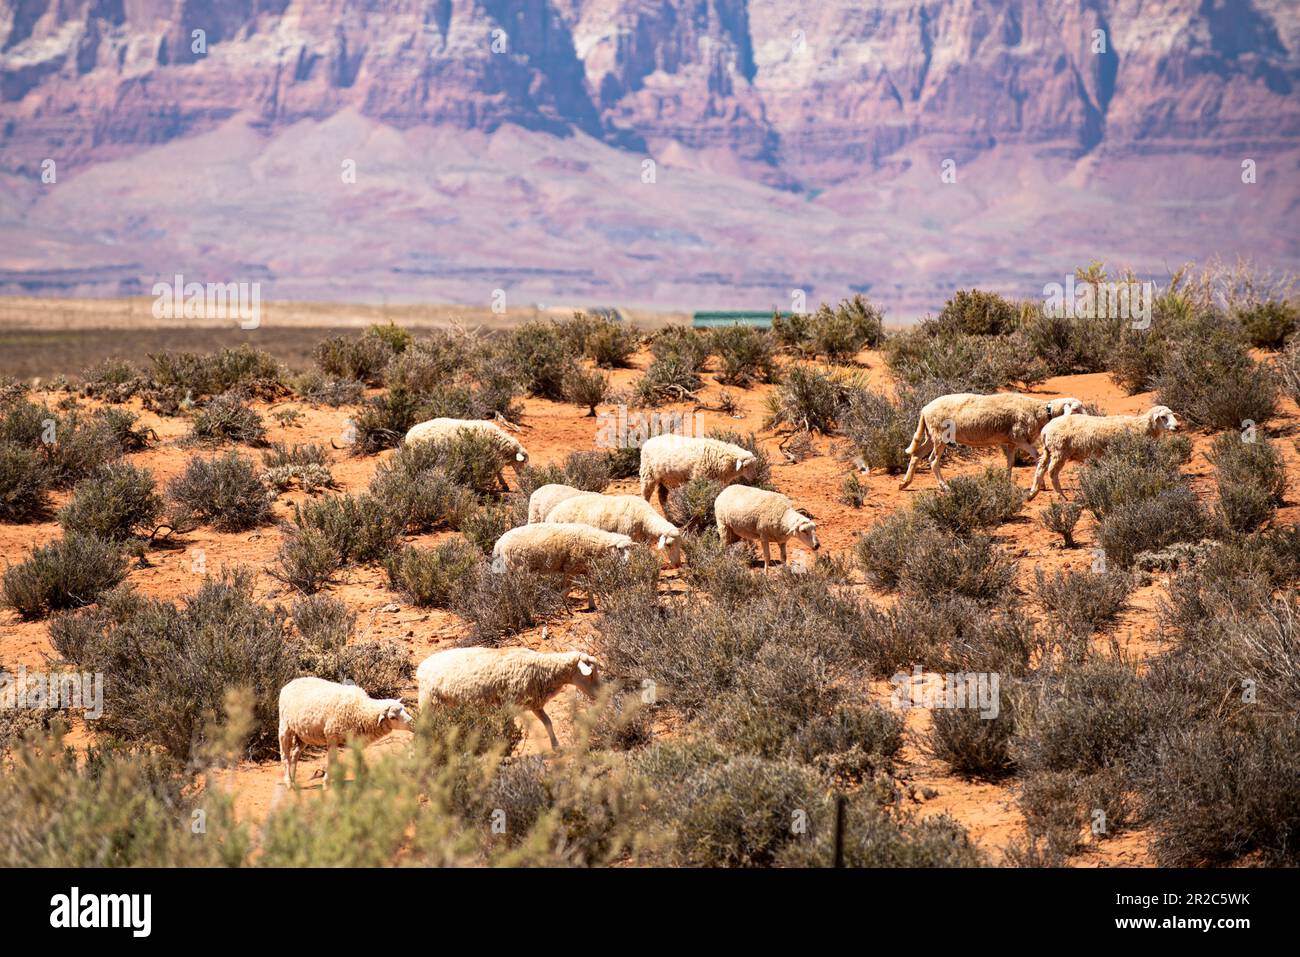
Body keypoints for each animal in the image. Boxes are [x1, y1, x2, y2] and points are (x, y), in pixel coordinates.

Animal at [278, 677, 414, 788]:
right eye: (392, 717)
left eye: (404, 709)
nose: (412, 723)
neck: (360, 709)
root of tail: (290, 683)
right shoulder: (332, 735)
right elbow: (332, 760)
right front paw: (326, 783)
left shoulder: (356, 741)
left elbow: (360, 761)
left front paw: (364, 780)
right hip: (285, 727)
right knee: (285, 756)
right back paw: (288, 782)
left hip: (303, 735)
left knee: (295, 754)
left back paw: (293, 780)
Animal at [416, 647, 601, 750]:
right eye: (590, 674)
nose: (599, 694)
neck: (542, 668)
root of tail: (421, 667)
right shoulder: (509, 705)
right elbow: (509, 729)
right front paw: (505, 749)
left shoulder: (535, 704)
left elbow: (547, 722)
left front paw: (556, 746)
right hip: (429, 700)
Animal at [492, 522, 635, 609]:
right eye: (619, 549)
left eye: (630, 548)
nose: (627, 562)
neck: (595, 543)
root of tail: (499, 543)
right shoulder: (571, 567)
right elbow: (567, 589)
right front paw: (562, 604)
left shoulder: (586, 569)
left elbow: (590, 588)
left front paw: (592, 605)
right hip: (519, 568)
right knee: (519, 590)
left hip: (510, 569)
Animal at [899, 393, 1086, 490]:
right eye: (1076, 409)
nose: (1088, 418)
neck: (1039, 412)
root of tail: (924, 409)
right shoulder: (1019, 438)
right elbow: (1037, 456)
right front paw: (1042, 484)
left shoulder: (1010, 442)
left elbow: (1010, 462)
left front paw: (1007, 481)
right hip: (939, 436)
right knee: (932, 460)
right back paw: (945, 487)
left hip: (931, 436)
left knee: (916, 455)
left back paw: (905, 482)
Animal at [1028, 405, 1179, 500]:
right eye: (1163, 417)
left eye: (1172, 415)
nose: (1177, 426)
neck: (1142, 426)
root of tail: (1046, 429)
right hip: (1059, 451)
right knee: (1052, 472)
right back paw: (1061, 496)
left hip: (1049, 450)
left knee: (1040, 468)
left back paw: (1032, 493)